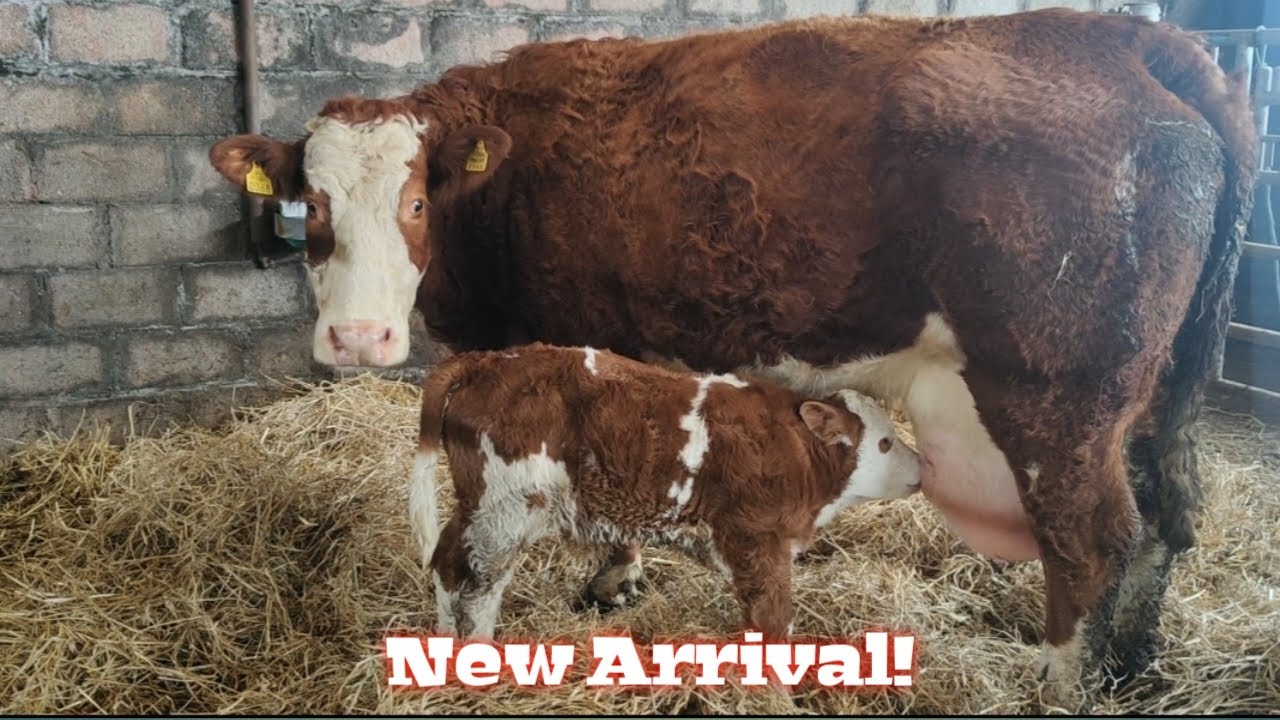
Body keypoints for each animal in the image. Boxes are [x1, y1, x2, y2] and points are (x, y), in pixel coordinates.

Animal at [410, 342, 921, 639]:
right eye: (885, 442)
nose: (922, 467)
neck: (795, 447)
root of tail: (488, 360)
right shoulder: (756, 540)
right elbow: (772, 617)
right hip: (505, 510)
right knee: (476, 583)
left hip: (481, 506)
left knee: (448, 563)